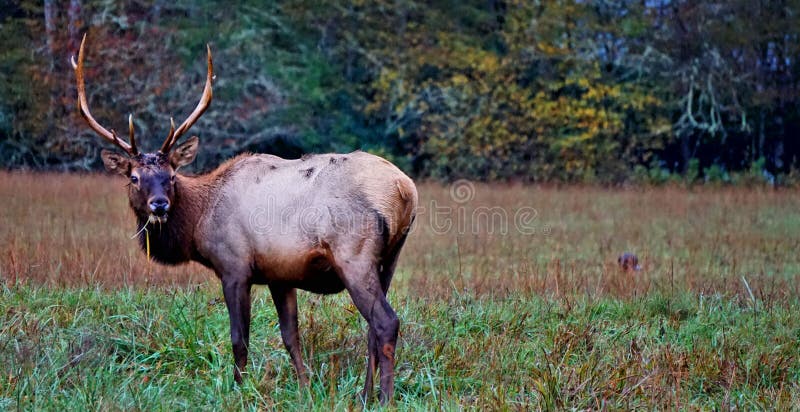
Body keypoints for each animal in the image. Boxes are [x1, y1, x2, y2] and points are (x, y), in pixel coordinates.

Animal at [72, 35, 417, 405]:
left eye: (171, 176)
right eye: (135, 177)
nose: (159, 205)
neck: (199, 221)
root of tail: (405, 189)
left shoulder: (234, 266)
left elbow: (239, 339)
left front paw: (237, 389)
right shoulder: (281, 274)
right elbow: (290, 337)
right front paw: (305, 389)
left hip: (355, 255)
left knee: (385, 322)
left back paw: (384, 399)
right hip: (390, 258)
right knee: (371, 329)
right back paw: (364, 395)